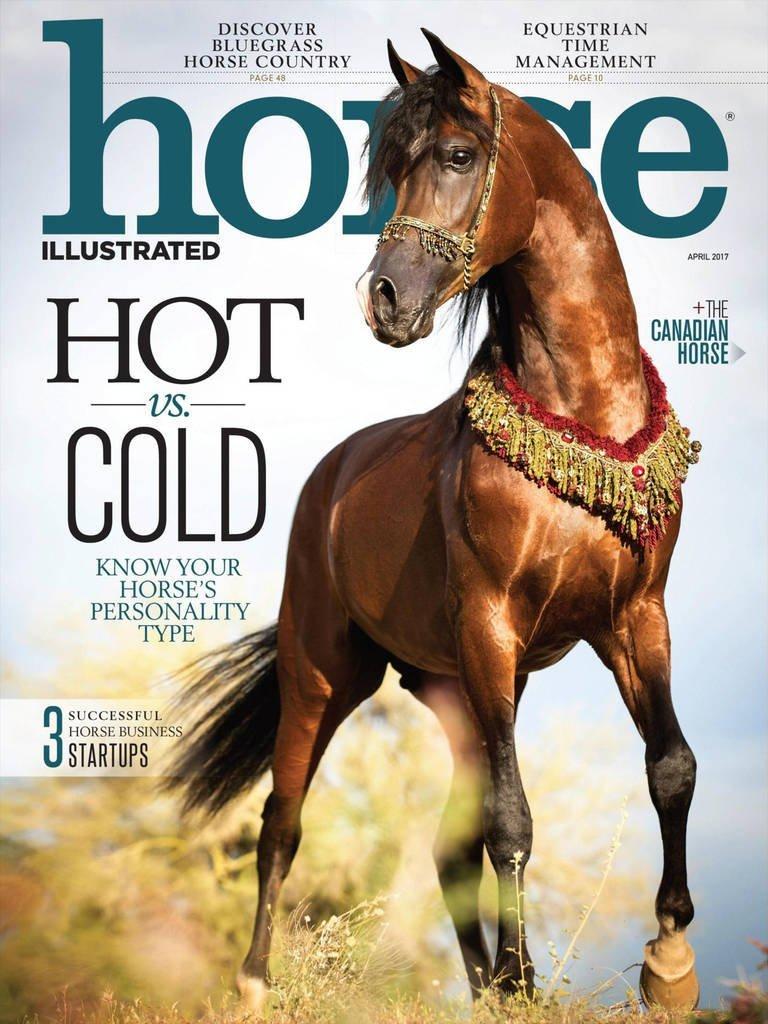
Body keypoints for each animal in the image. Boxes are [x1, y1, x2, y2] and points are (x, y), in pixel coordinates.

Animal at [167, 30, 702, 1012]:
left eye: (456, 156)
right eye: (391, 170)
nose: (382, 297)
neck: (584, 418)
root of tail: (329, 479)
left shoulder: (634, 618)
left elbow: (670, 767)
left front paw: (668, 965)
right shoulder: (492, 623)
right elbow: (512, 818)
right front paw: (528, 990)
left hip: (458, 692)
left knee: (447, 846)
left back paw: (487, 982)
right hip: (324, 670)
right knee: (282, 821)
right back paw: (256, 983)